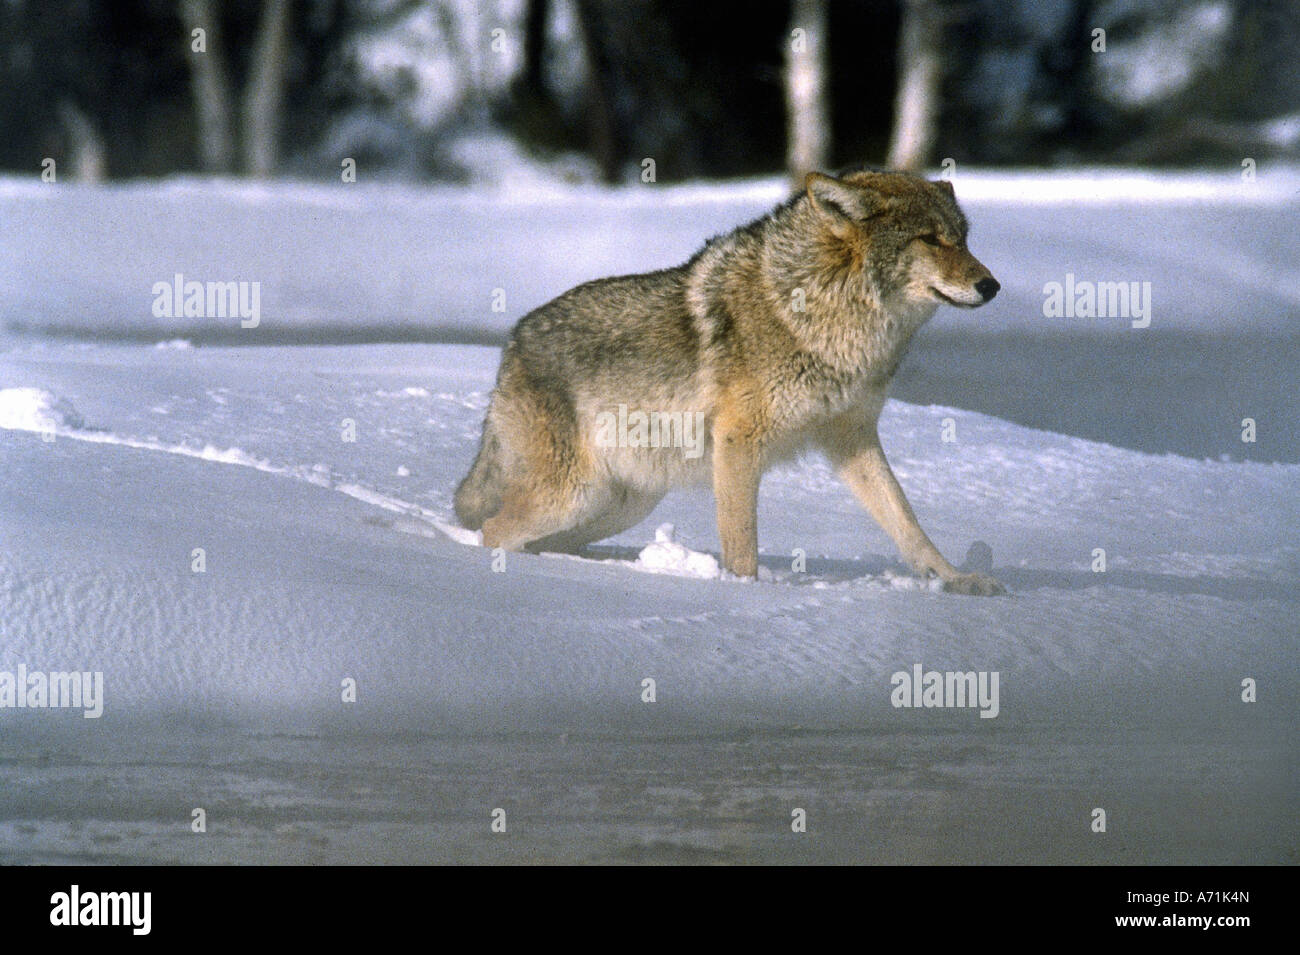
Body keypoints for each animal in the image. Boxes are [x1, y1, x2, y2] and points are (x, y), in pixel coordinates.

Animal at [455, 169, 1005, 594]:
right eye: (930, 239)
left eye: (964, 239)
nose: (992, 285)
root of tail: (512, 343)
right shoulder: (739, 442)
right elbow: (741, 544)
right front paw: (743, 596)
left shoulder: (853, 437)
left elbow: (907, 521)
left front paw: (957, 580)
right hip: (573, 496)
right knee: (493, 530)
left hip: (617, 507)